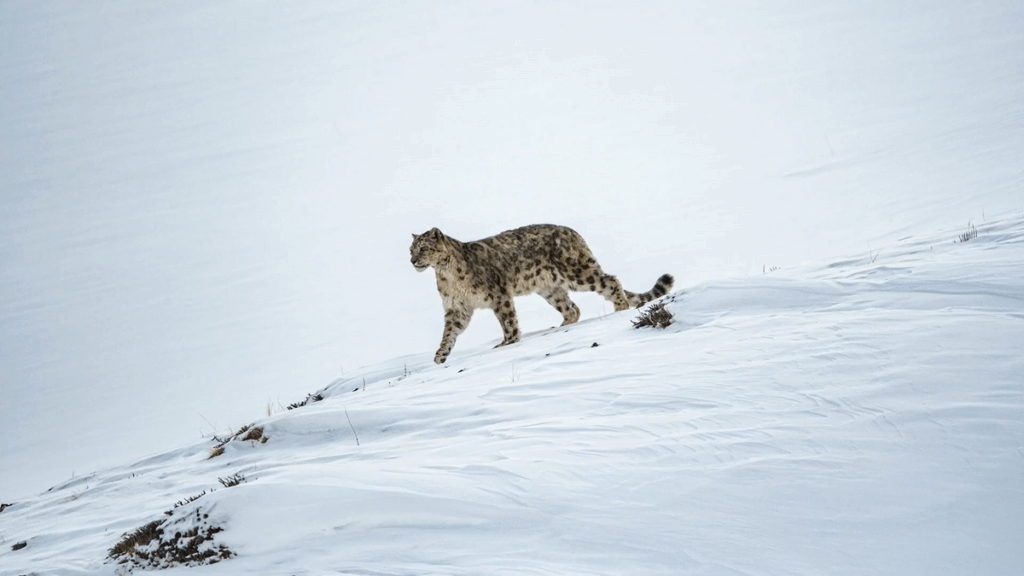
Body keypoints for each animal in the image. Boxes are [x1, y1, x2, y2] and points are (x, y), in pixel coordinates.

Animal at [410, 224, 674, 364]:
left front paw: (508, 342)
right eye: (411, 249)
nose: (412, 261)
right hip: (550, 288)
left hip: (578, 273)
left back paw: (620, 308)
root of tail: (573, 233)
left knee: (610, 280)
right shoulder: (457, 307)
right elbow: (450, 331)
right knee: (572, 308)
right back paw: (560, 326)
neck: (446, 274)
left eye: (423, 248)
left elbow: (507, 321)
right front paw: (440, 355)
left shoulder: (498, 295)